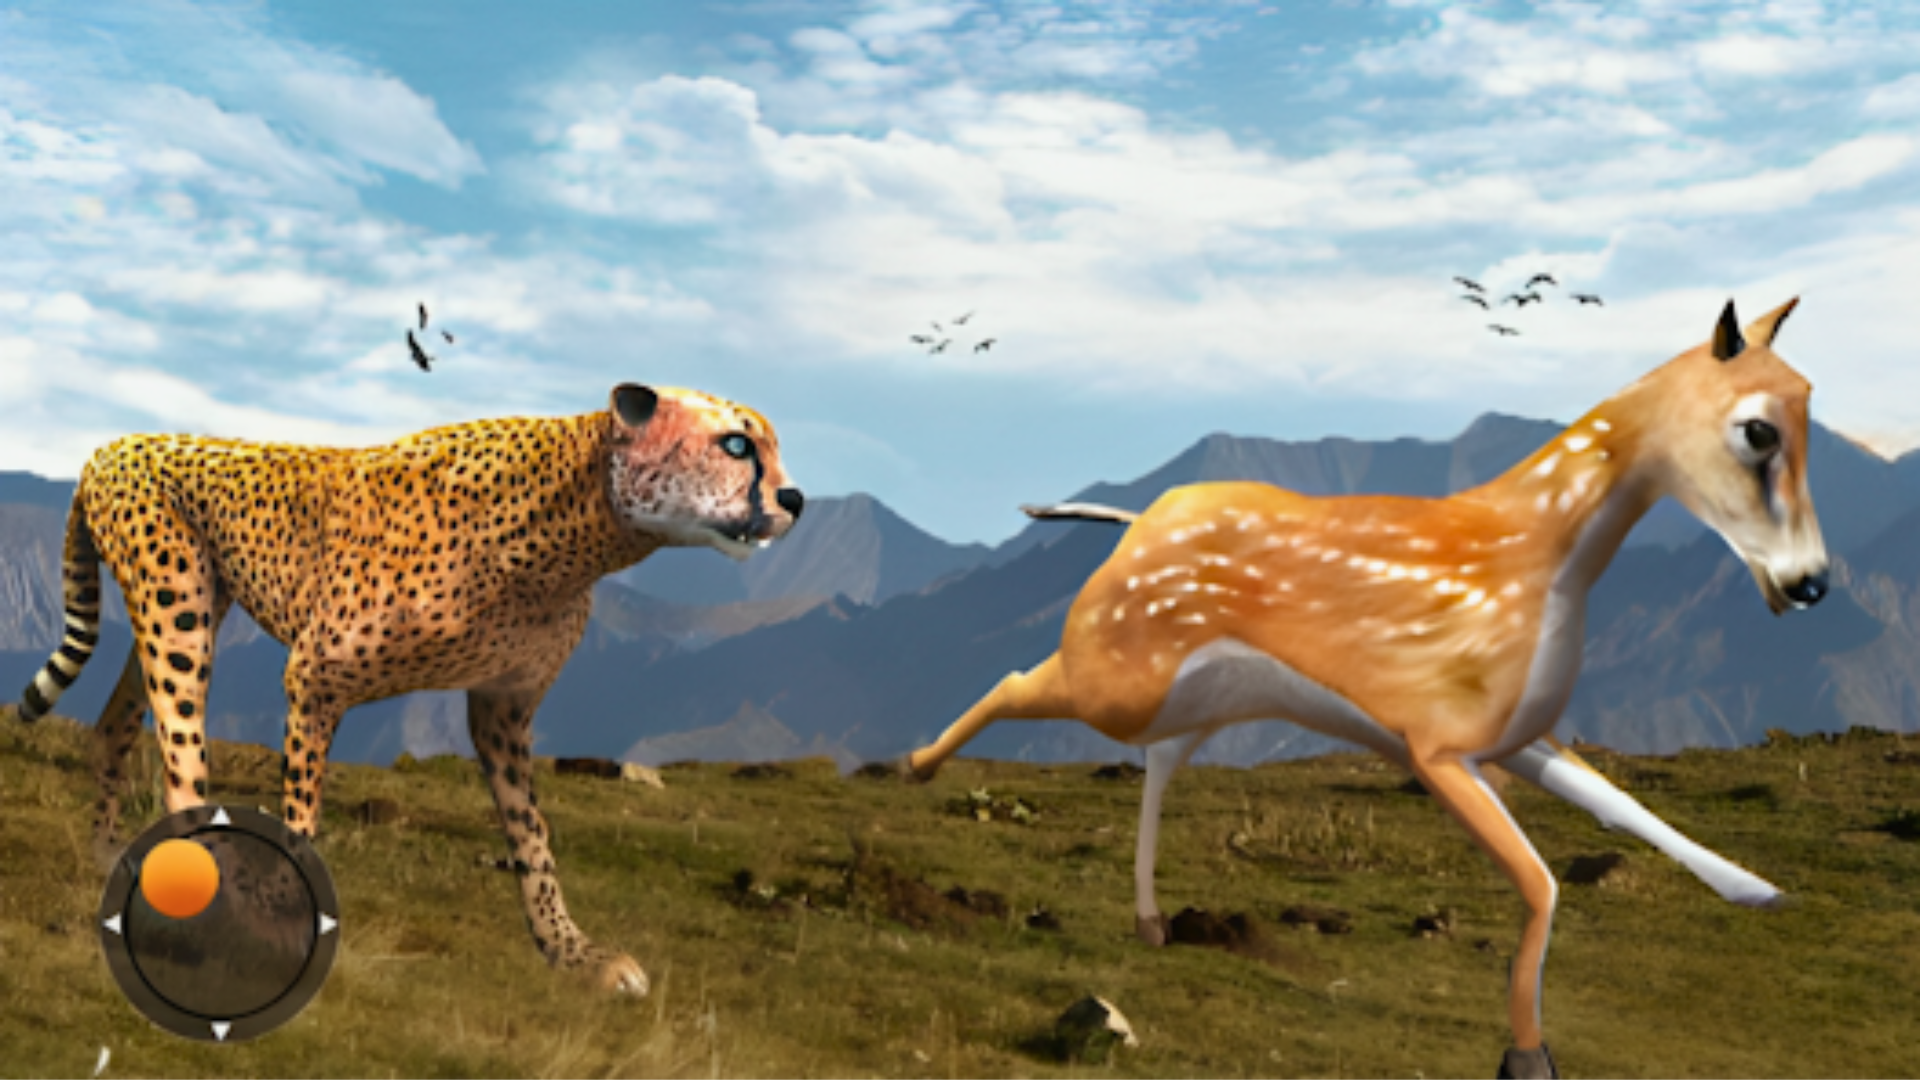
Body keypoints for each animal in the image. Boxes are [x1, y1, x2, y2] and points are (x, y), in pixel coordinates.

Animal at [13, 382, 804, 995]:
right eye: (737, 446)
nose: (794, 497)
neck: (576, 516)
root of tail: (118, 442)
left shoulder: (503, 709)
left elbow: (534, 840)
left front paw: (574, 955)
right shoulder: (315, 680)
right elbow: (303, 818)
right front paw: (283, 932)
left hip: (197, 603)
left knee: (113, 725)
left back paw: (112, 856)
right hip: (177, 608)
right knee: (181, 754)